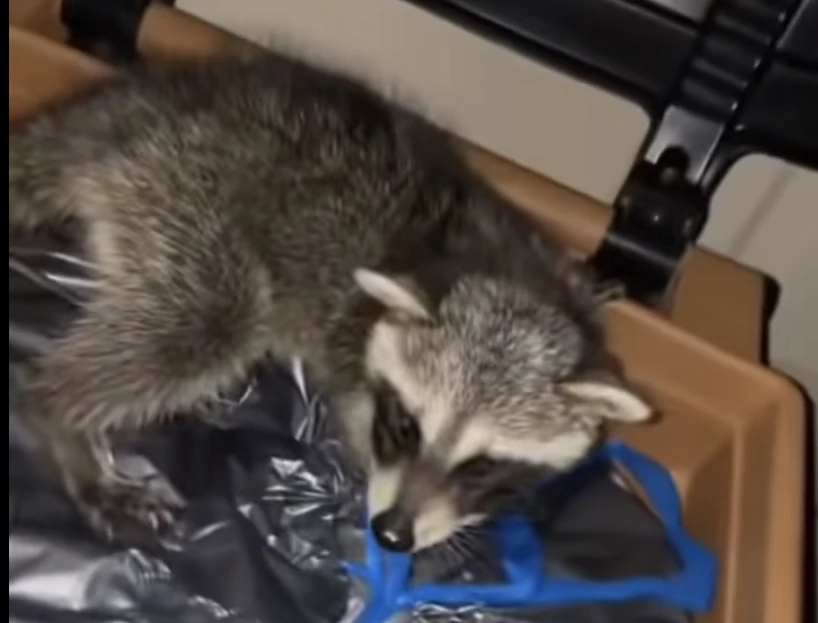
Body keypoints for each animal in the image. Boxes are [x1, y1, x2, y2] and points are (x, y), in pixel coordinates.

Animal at [9, 51, 651, 551]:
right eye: (406, 425)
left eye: (485, 463)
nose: (392, 535)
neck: (516, 280)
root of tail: (131, 106)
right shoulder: (354, 355)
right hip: (189, 195)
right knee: (207, 323)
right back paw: (61, 412)